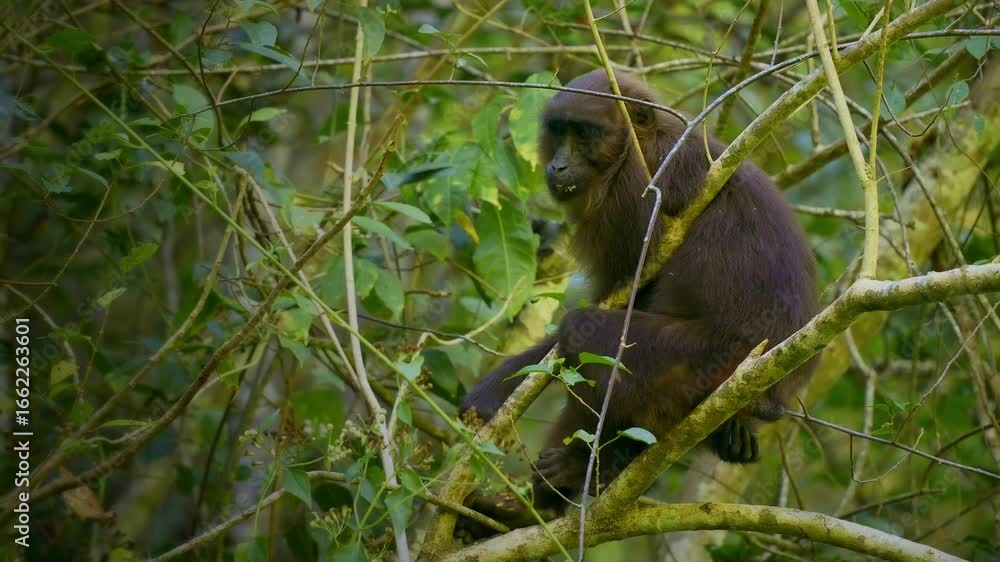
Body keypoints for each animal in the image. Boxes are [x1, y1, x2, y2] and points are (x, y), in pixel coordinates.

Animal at [457, 69, 818, 534]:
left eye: (585, 133)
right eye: (559, 131)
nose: (557, 165)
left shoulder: (635, 190)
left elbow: (616, 304)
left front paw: (499, 386)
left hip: (698, 361)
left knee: (587, 341)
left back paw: (569, 478)